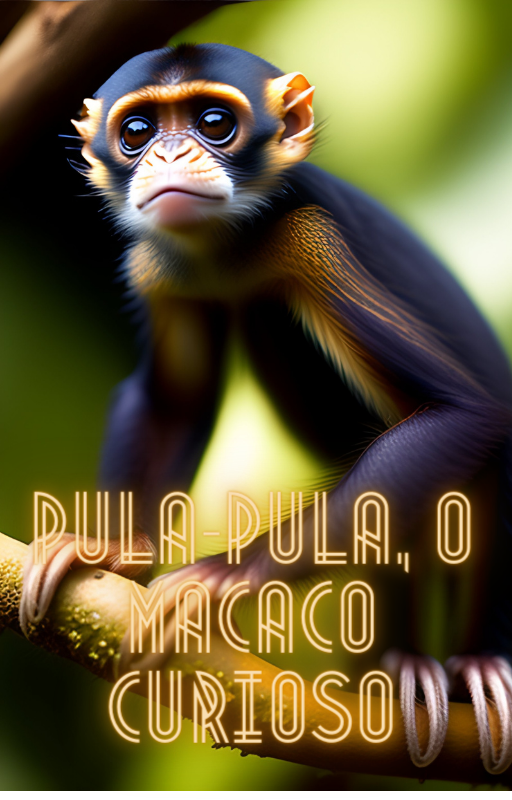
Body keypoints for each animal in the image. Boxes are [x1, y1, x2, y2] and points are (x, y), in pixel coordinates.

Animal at [18, 43, 512, 773]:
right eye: (136, 132)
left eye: (213, 122)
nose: (169, 154)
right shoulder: (154, 264)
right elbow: (172, 403)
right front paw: (117, 547)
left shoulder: (309, 239)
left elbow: (460, 413)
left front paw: (228, 576)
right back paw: (402, 661)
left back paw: (476, 662)